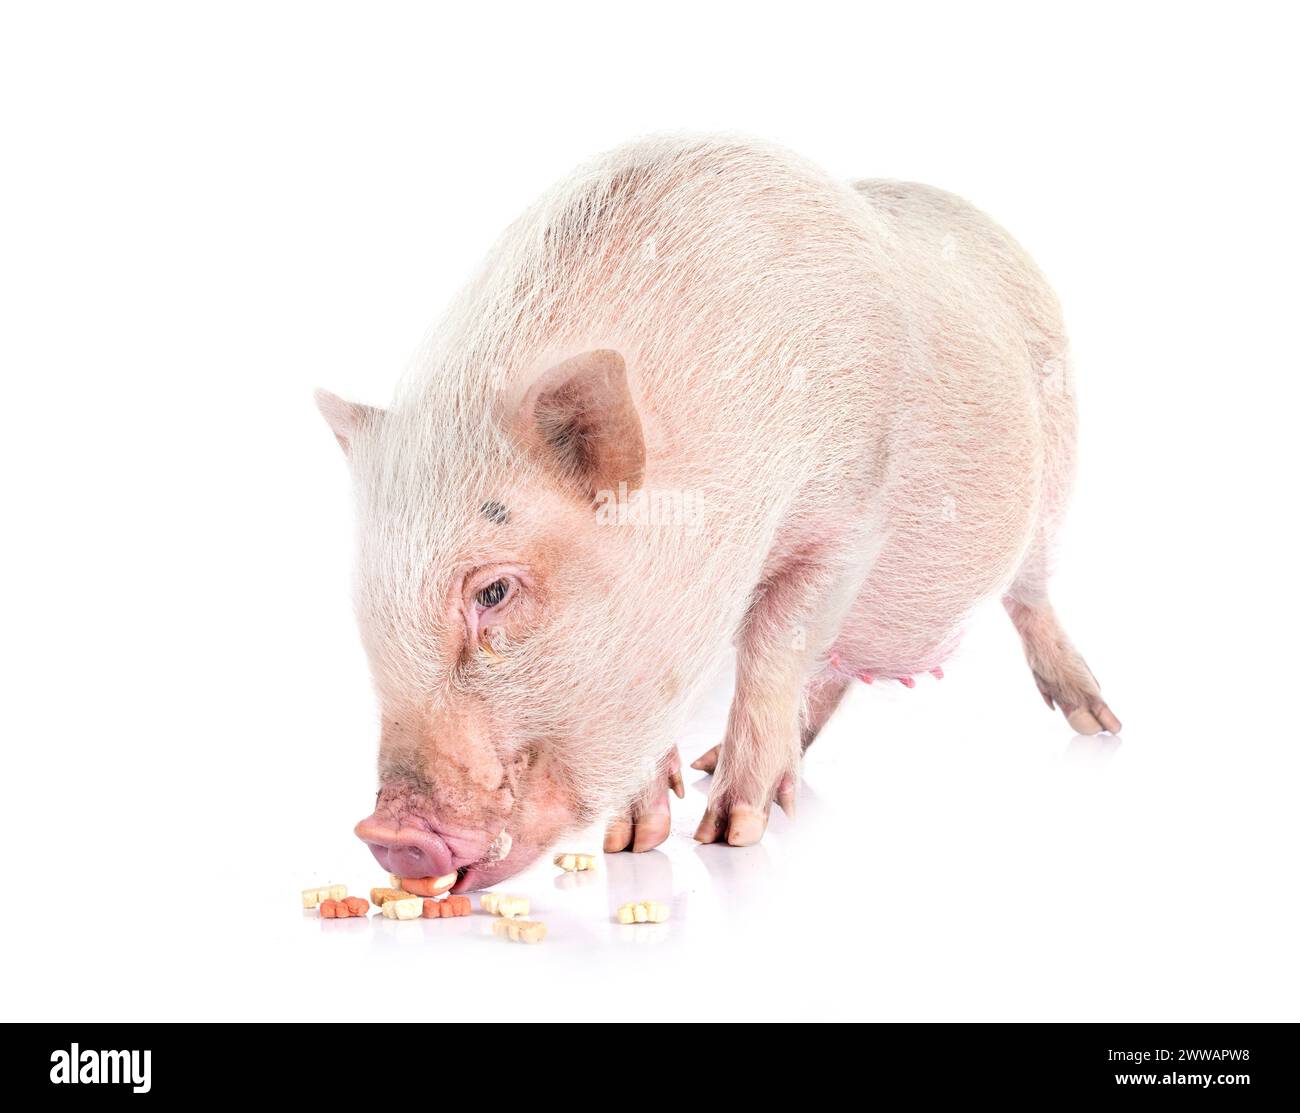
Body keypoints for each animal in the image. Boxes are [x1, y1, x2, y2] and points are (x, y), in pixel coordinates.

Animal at [316, 133, 1120, 891]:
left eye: (494, 591)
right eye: (365, 606)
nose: (389, 837)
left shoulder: (849, 520)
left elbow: (771, 651)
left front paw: (732, 833)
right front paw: (630, 842)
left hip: (1058, 468)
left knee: (1027, 595)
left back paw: (1098, 721)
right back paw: (710, 763)